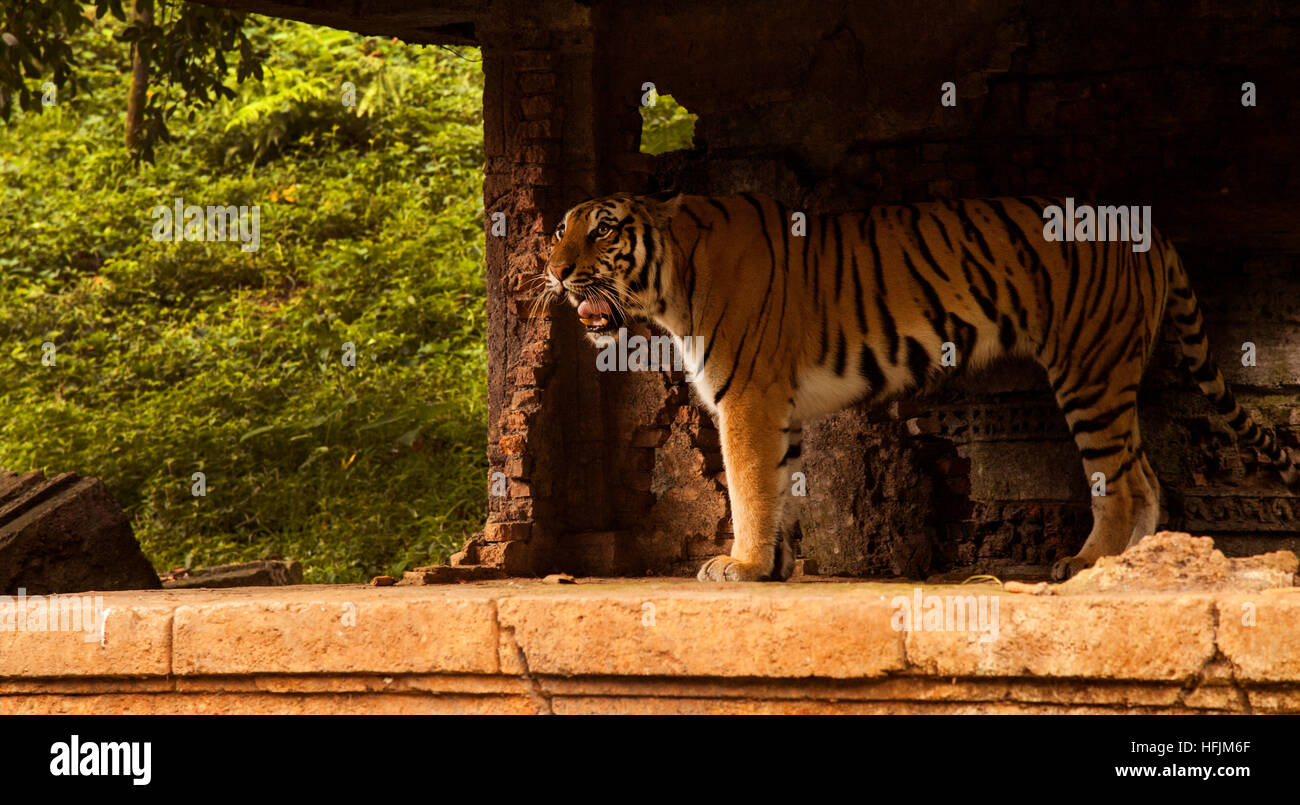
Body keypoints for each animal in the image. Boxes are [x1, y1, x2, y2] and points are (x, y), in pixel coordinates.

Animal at [539, 191, 1299, 582]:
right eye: (557, 232)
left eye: (602, 232)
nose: (555, 270)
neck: (670, 282)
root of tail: (1150, 229)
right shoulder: (775, 405)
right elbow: (781, 486)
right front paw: (775, 566)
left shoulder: (747, 395)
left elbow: (748, 485)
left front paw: (742, 564)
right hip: (1107, 373)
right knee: (1146, 477)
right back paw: (1130, 568)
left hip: (1089, 369)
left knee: (1124, 482)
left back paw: (1085, 564)